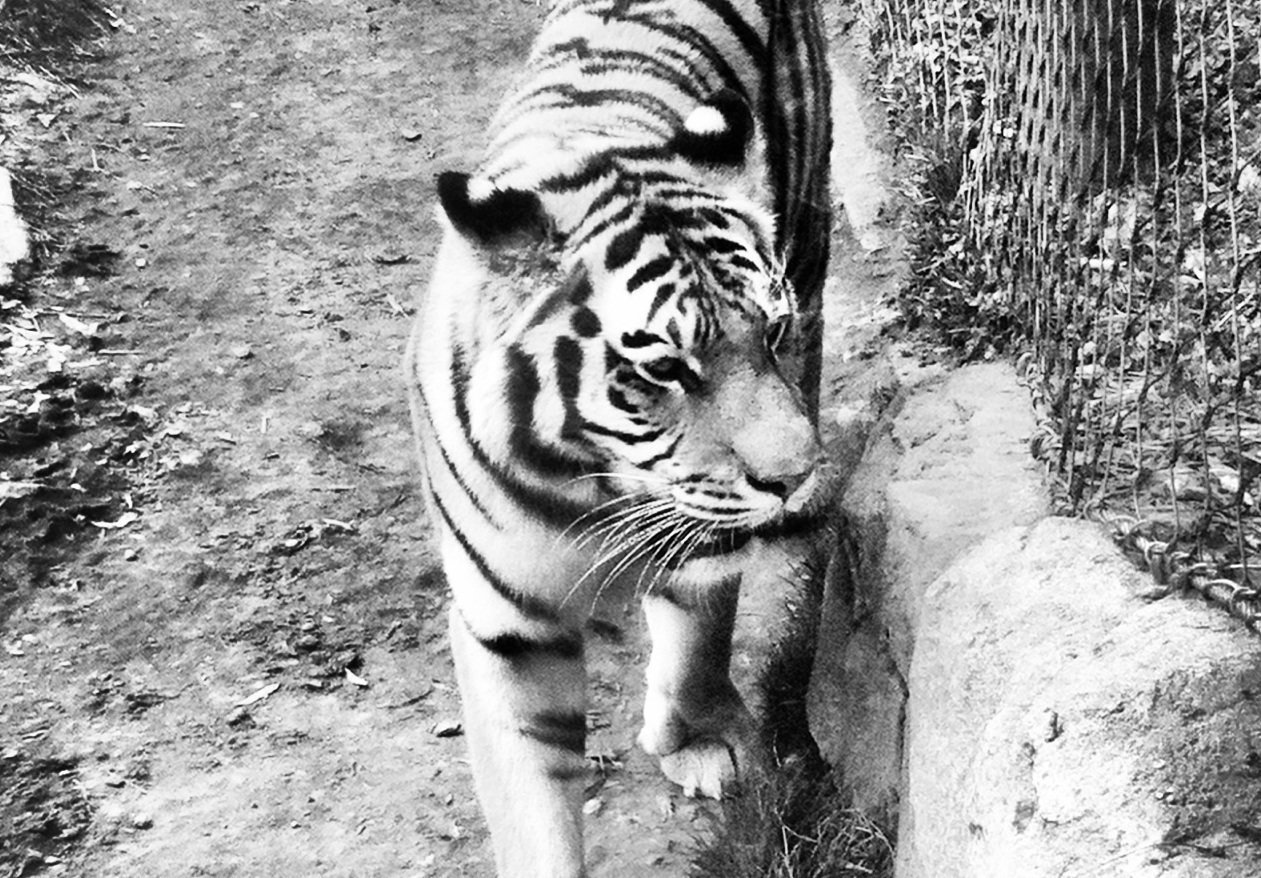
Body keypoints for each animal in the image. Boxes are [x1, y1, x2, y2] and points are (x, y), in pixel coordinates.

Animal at [405, 0, 834, 874]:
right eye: (665, 367)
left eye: (770, 333)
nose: (794, 478)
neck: (590, 481)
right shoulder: (506, 630)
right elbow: (531, 808)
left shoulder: (707, 534)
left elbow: (701, 630)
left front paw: (699, 741)